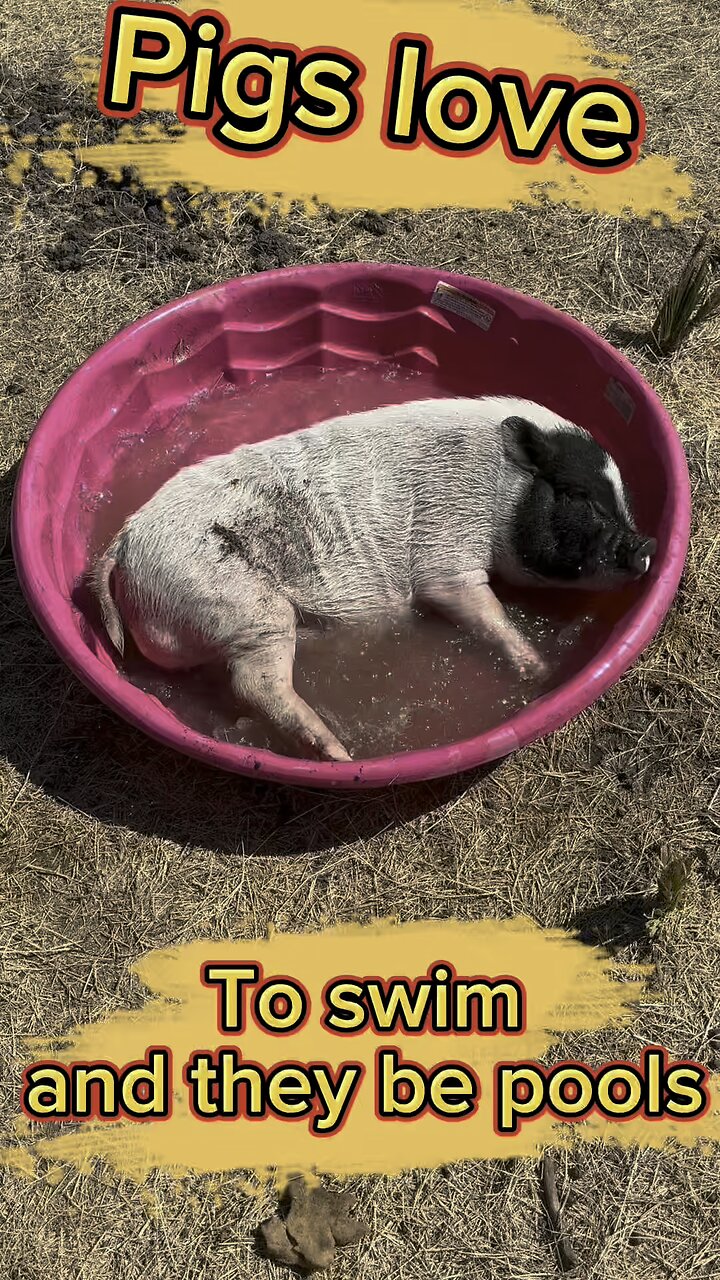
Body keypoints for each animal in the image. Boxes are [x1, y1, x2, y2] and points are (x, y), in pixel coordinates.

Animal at [92, 395, 656, 763]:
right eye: (579, 496)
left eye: (622, 498)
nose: (647, 546)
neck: (503, 491)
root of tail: (123, 544)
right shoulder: (445, 551)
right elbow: (477, 604)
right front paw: (538, 671)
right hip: (245, 607)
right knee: (256, 683)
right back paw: (339, 754)